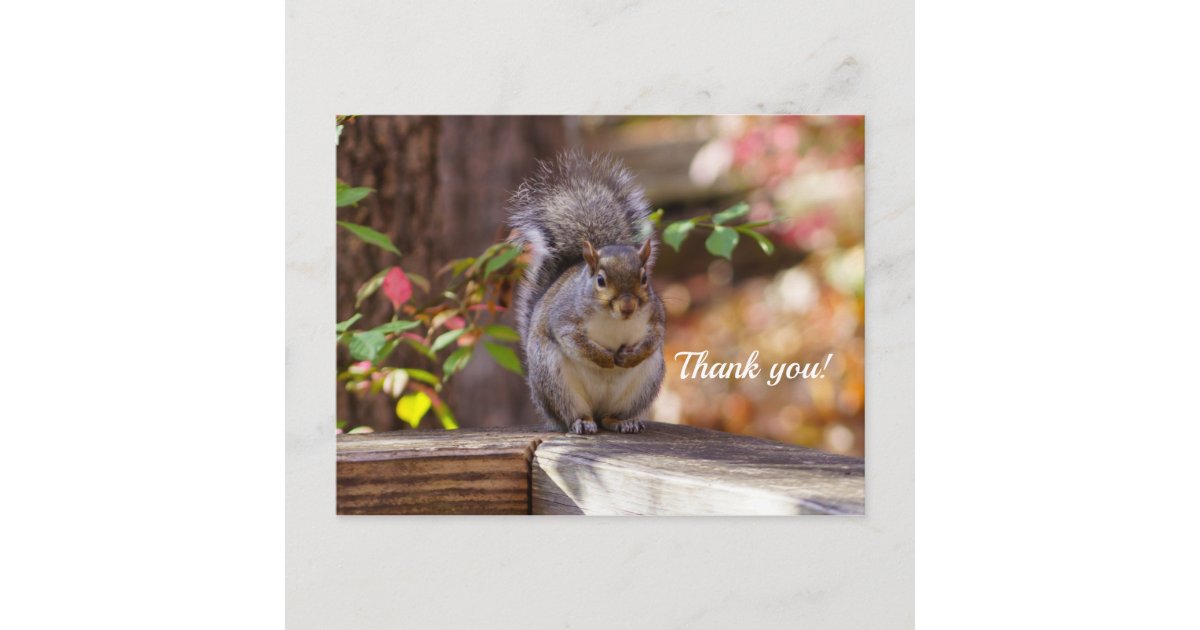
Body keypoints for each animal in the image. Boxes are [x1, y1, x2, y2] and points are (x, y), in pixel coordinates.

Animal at [507, 151, 666, 435]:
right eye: (600, 280)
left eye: (644, 278)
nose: (628, 306)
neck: (614, 320)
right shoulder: (564, 317)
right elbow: (574, 340)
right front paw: (605, 358)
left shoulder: (655, 316)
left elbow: (654, 338)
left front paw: (629, 356)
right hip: (554, 380)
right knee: (574, 414)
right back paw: (581, 422)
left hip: (644, 382)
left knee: (610, 417)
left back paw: (622, 422)